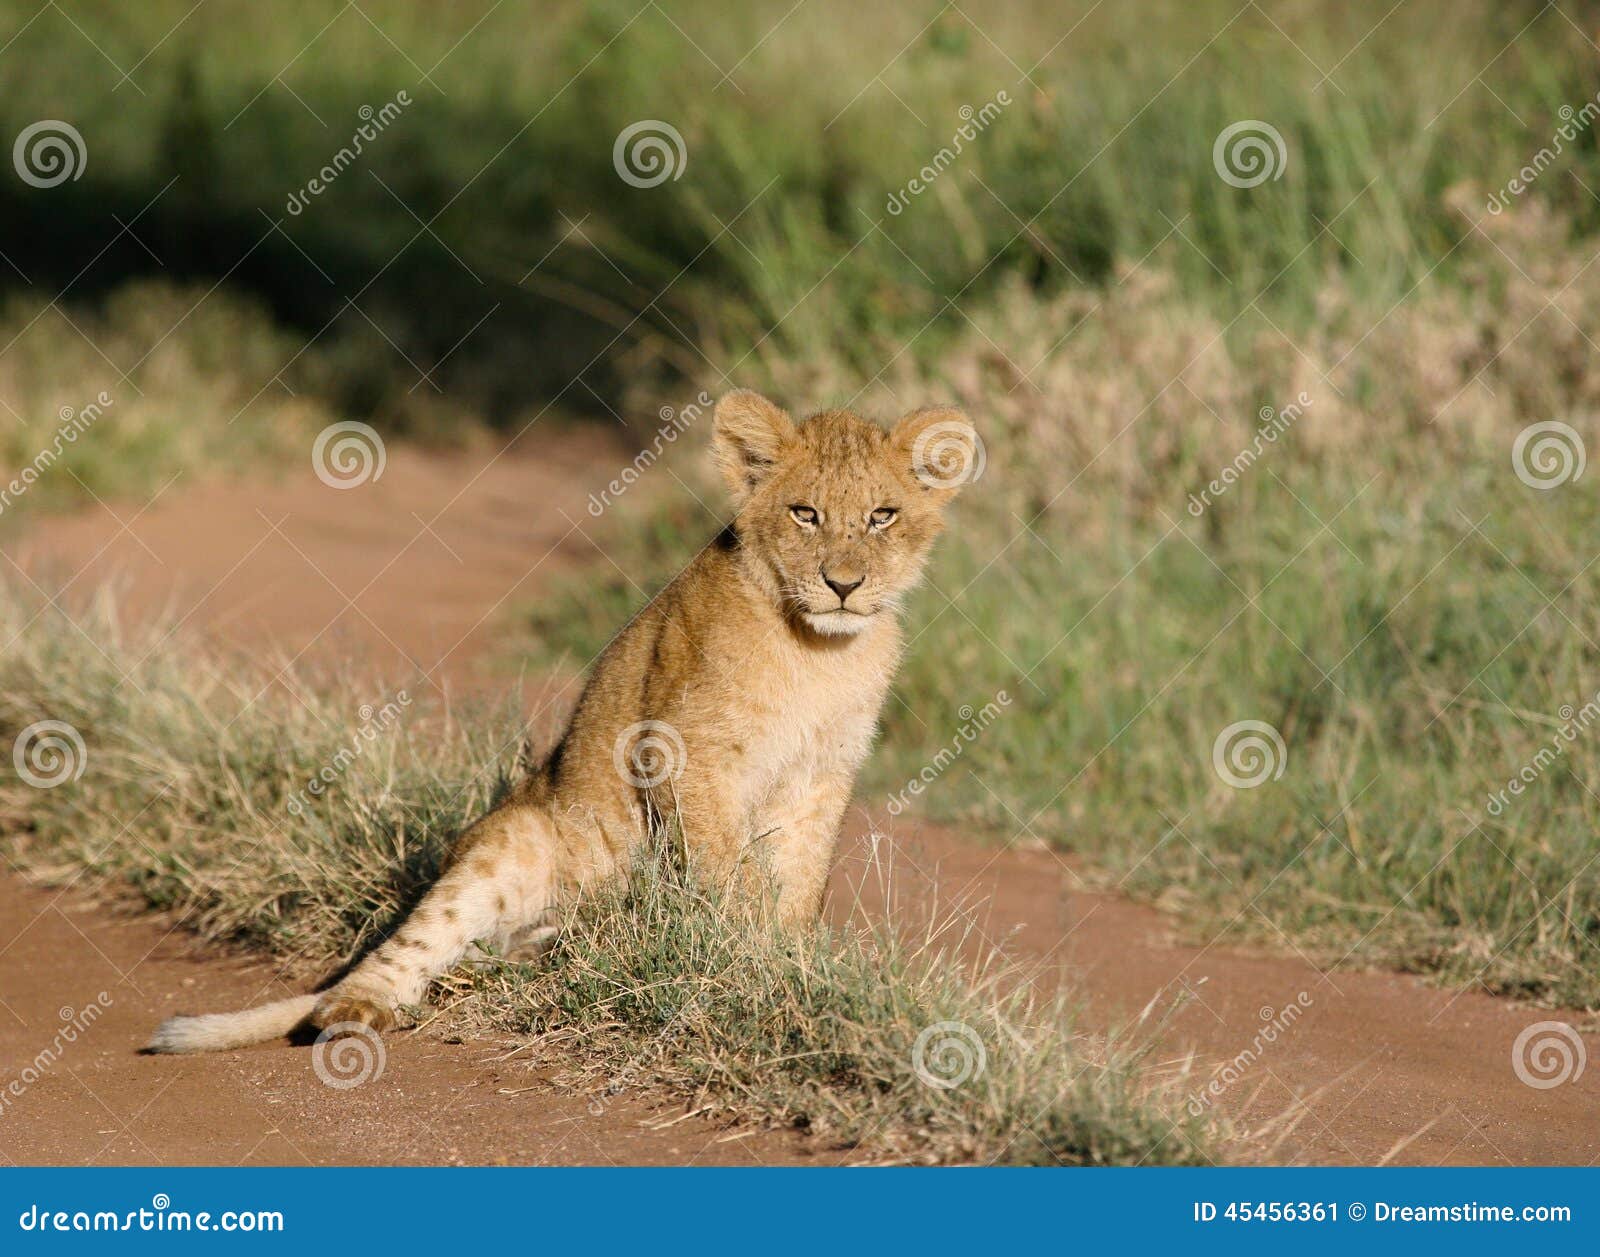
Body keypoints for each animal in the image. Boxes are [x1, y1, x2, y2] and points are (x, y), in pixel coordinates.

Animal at [146, 390, 976, 1053]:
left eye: (882, 516)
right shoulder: (683, 750)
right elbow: (727, 871)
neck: (821, 652)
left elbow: (798, 880)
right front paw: (750, 964)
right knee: (405, 947)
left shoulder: (820, 776)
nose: (844, 584)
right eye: (805, 513)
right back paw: (357, 1012)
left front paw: (793, 967)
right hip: (512, 838)